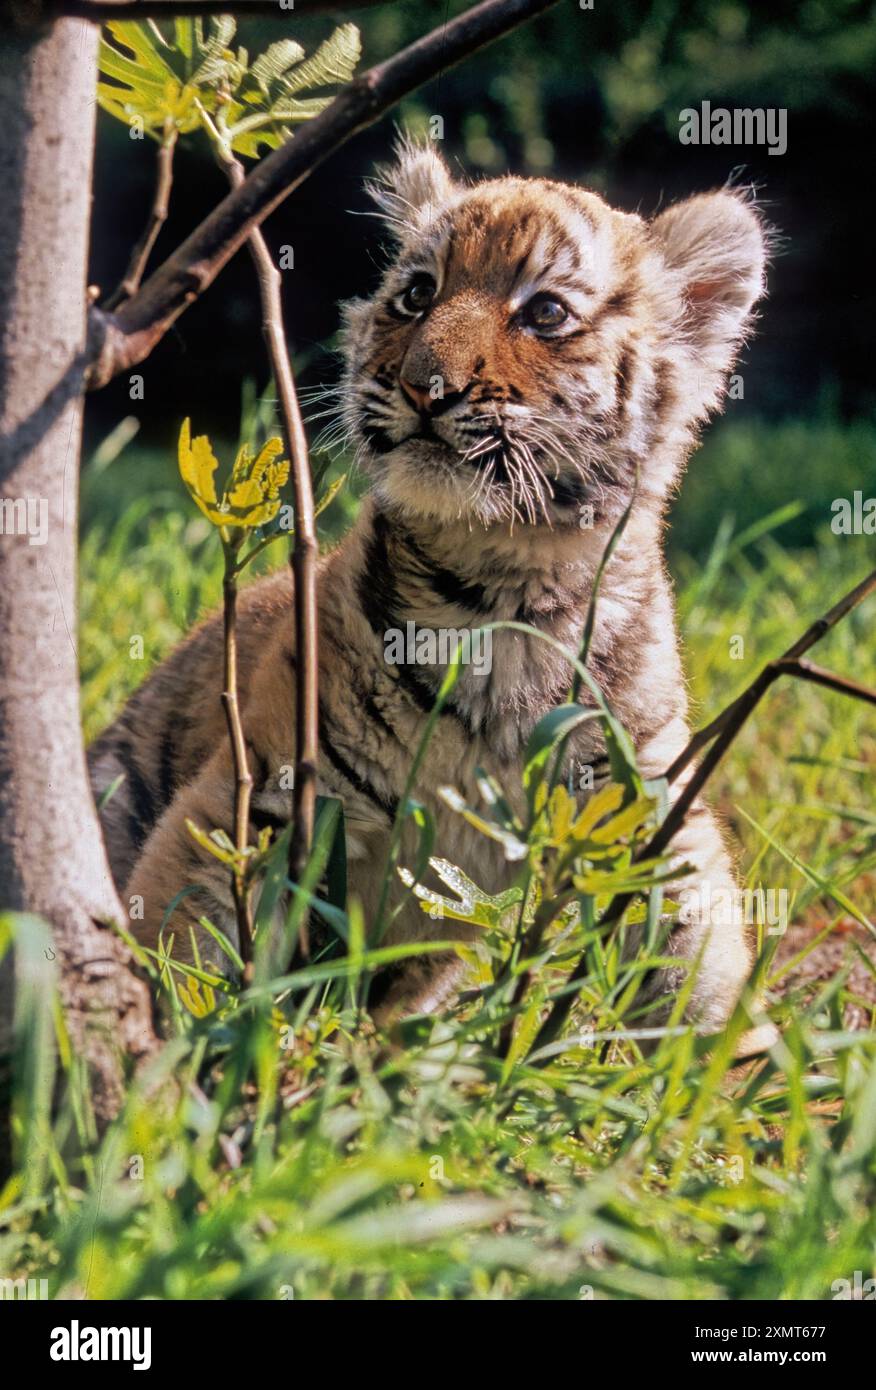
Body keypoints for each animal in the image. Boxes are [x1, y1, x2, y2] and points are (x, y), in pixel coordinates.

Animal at [88, 141, 773, 1043]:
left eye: (545, 312)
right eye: (418, 293)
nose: (423, 384)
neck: (503, 590)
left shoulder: (647, 798)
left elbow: (698, 963)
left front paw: (735, 1071)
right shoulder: (263, 793)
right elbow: (185, 936)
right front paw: (167, 1057)